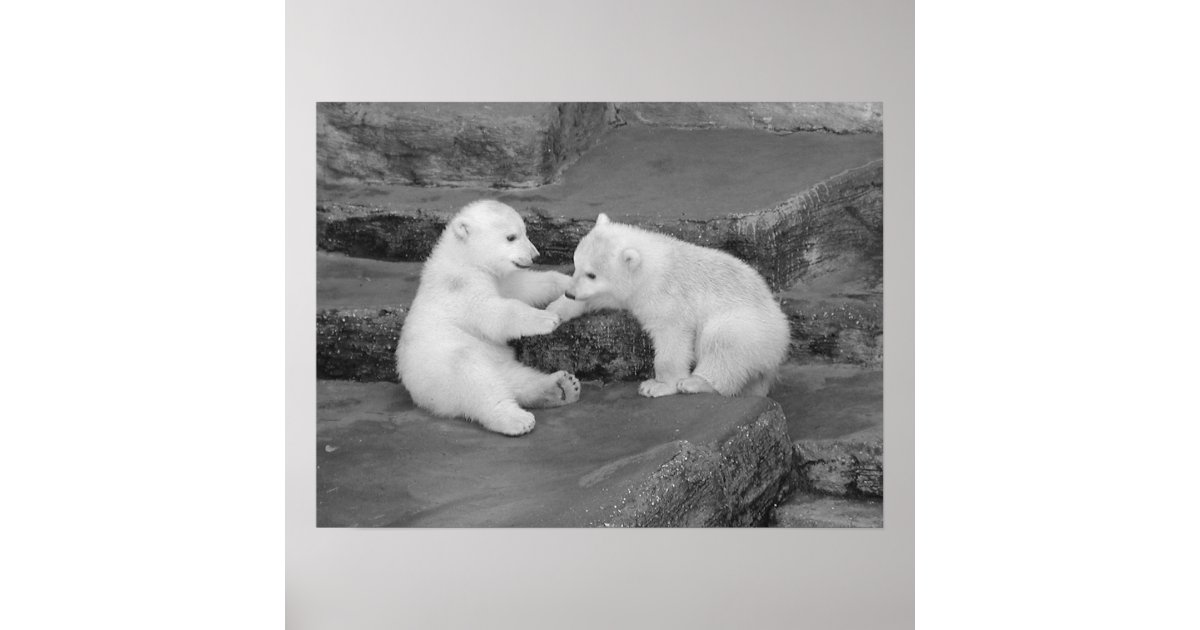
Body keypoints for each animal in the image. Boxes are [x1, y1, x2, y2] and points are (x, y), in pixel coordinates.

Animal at [395, 200, 580, 436]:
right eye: (511, 237)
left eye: (525, 232)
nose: (535, 255)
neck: (464, 258)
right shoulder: (461, 287)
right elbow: (492, 312)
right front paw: (547, 318)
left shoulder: (500, 278)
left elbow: (526, 287)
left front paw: (570, 283)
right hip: (443, 371)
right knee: (477, 380)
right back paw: (516, 419)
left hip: (500, 362)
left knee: (518, 379)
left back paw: (563, 388)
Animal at [546, 213, 790, 398]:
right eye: (576, 264)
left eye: (592, 274)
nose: (570, 292)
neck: (654, 265)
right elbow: (602, 297)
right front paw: (554, 311)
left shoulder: (666, 296)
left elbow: (672, 336)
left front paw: (658, 385)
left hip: (751, 327)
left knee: (723, 341)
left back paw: (696, 383)